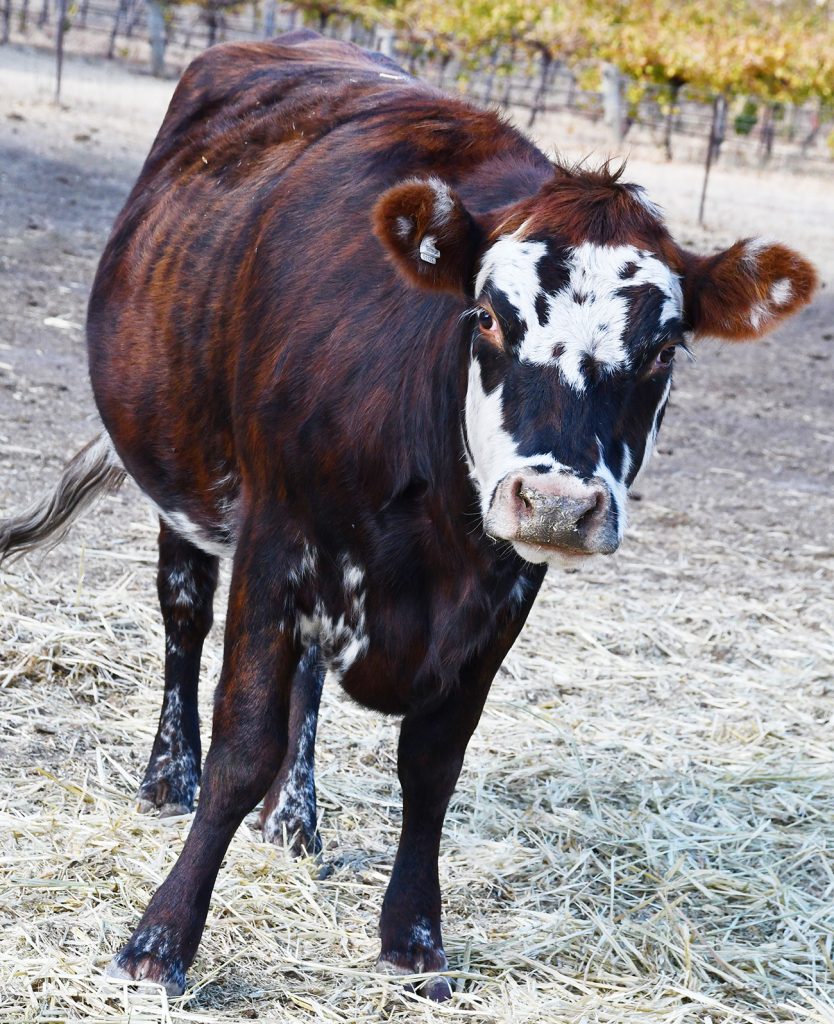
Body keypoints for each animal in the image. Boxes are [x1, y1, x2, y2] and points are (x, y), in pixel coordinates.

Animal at [0, 31, 816, 1002]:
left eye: (662, 349)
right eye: (489, 316)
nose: (557, 503)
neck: (436, 536)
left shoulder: (502, 592)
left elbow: (431, 765)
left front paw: (412, 935)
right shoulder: (275, 541)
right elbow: (242, 746)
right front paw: (162, 938)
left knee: (309, 681)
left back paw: (295, 818)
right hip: (184, 476)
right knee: (183, 617)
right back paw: (170, 774)